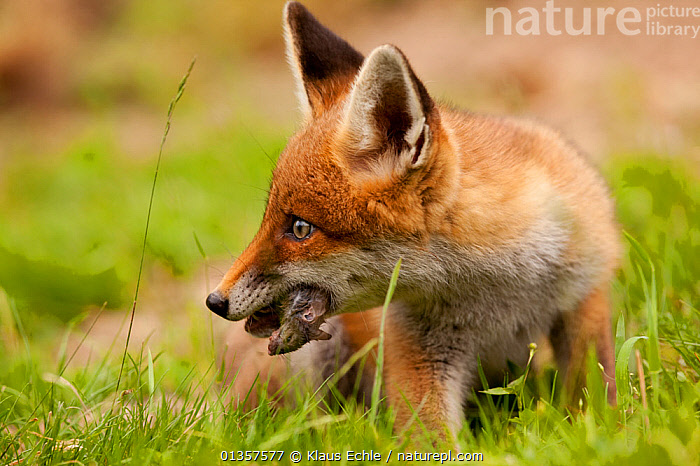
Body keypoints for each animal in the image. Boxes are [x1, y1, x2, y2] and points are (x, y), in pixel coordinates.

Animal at [206, 1, 620, 437]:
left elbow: (593, 401)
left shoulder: (585, 297)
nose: (215, 300)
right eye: (268, 217)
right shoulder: (415, 347)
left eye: (300, 228)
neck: (499, 287)